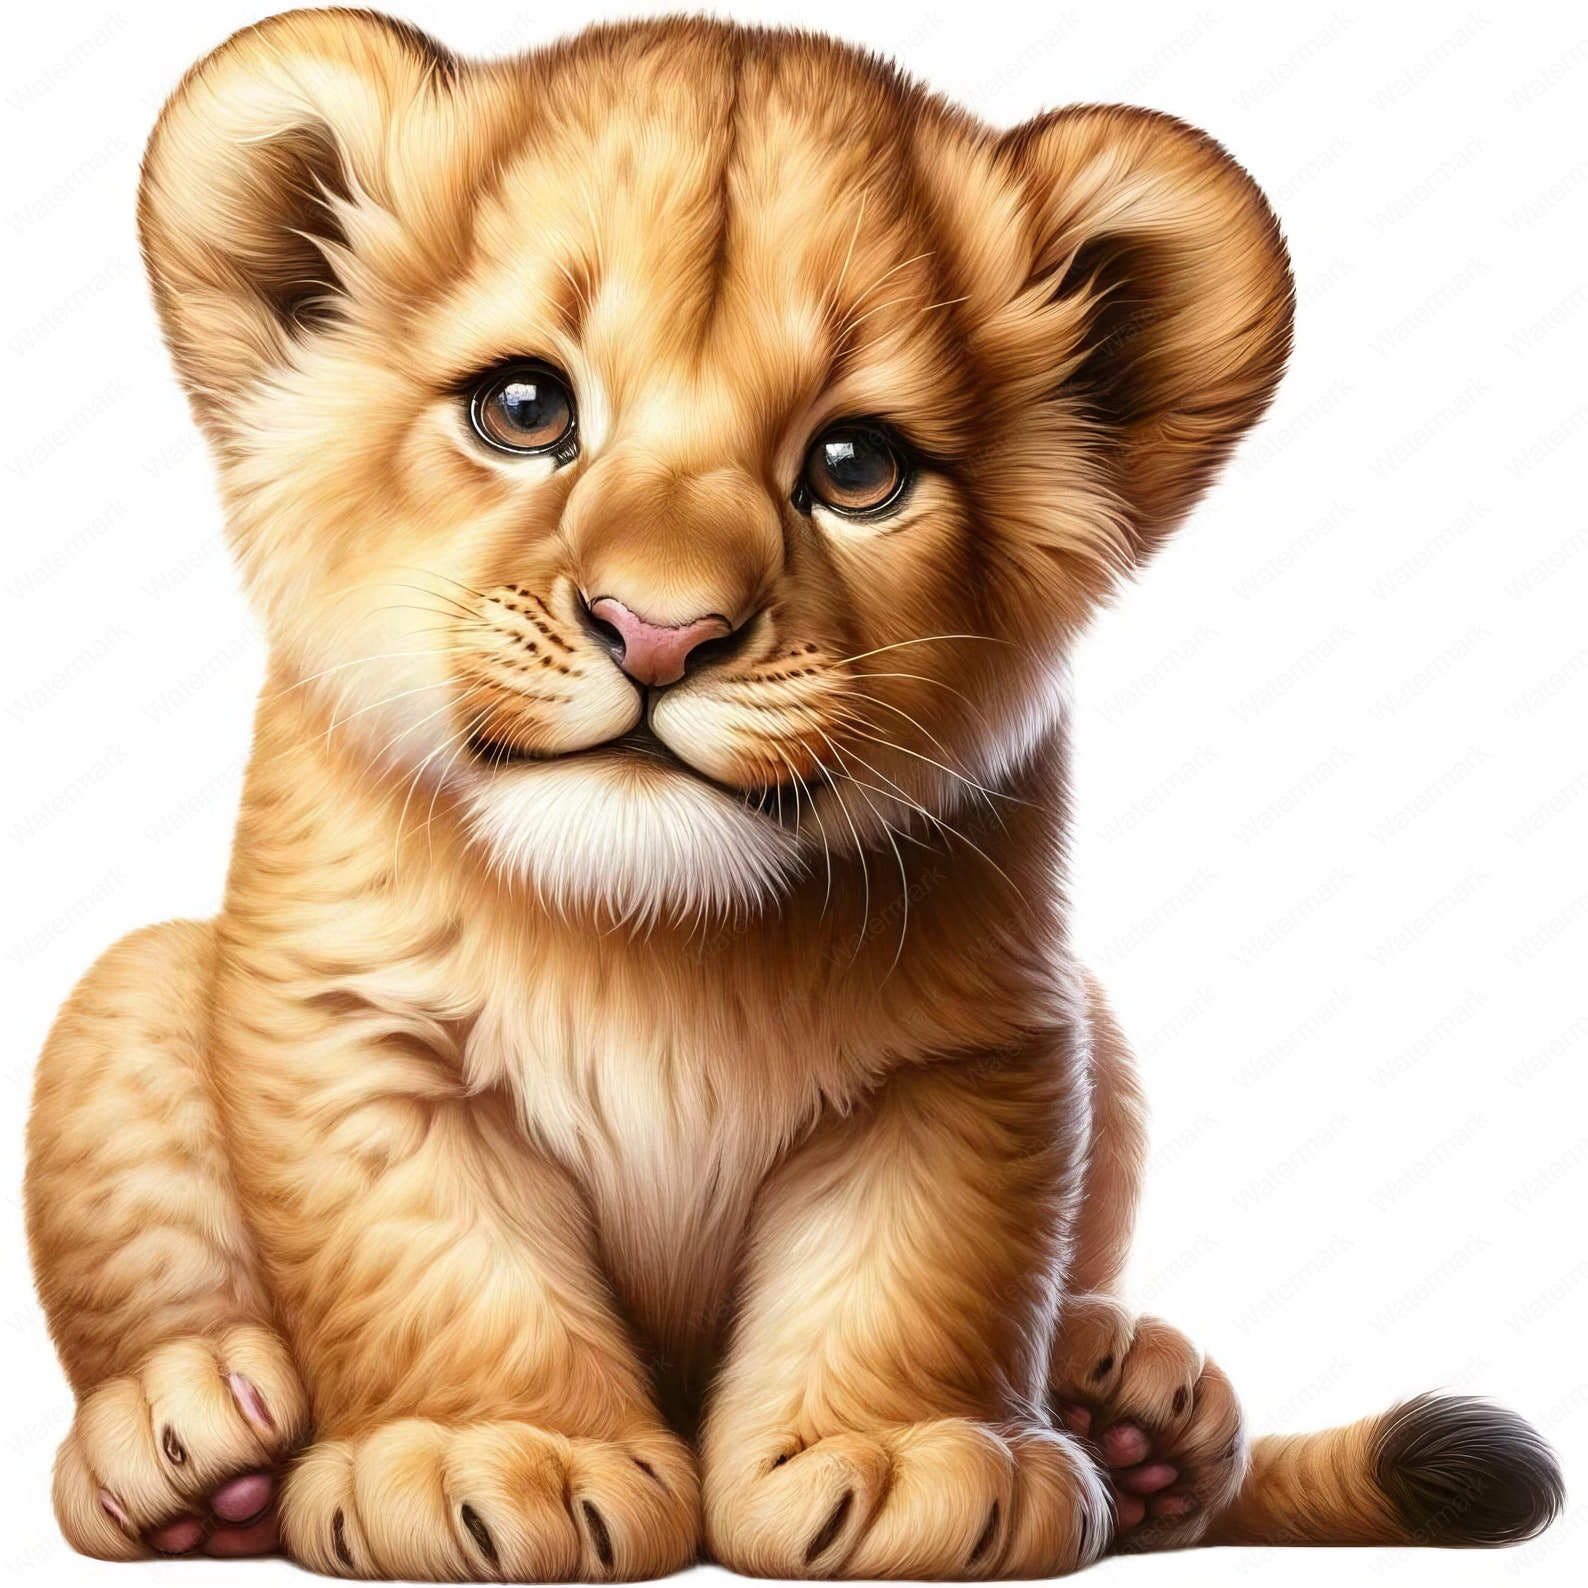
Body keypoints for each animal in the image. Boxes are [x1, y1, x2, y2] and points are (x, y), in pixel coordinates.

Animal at [25, 10, 1560, 1578]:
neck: (647, 941)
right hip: (128, 991)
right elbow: (438, 1264)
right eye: (522, 408)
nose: (658, 630)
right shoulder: (353, 1026)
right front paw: (495, 1457)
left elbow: (920, 1268)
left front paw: (900, 1461)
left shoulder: (973, 1054)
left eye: (856, 466)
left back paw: (1137, 1417)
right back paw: (200, 1443)